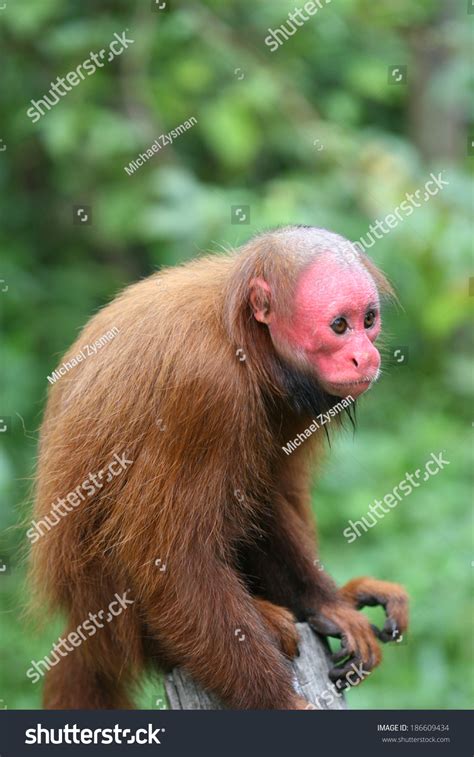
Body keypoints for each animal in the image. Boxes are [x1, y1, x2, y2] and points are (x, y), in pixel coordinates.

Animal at [29, 225, 408, 710]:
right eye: (339, 325)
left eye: (368, 319)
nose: (365, 356)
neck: (244, 341)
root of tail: (82, 626)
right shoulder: (203, 390)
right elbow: (172, 563)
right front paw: (282, 703)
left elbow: (263, 497)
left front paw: (329, 606)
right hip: (120, 624)